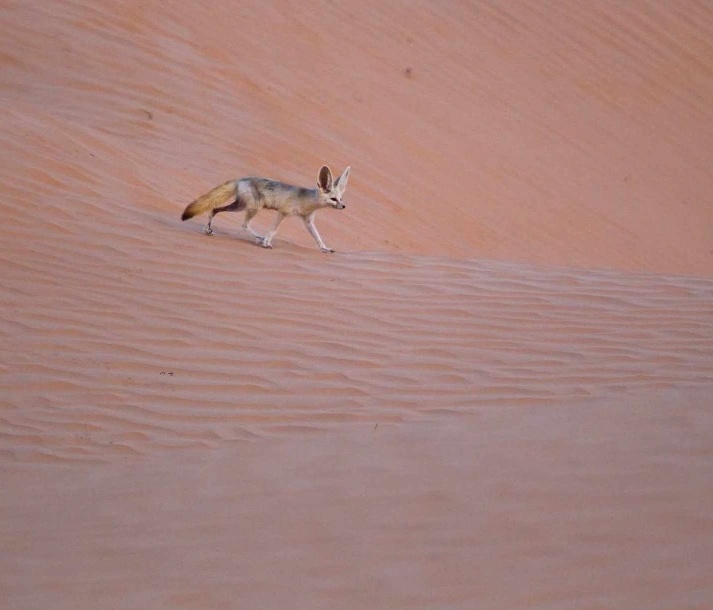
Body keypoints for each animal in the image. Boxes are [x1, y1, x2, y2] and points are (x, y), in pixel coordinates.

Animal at [181, 165, 351, 252]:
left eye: (341, 198)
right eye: (333, 199)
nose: (343, 206)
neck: (306, 200)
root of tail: (241, 179)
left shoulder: (307, 220)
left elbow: (317, 236)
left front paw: (324, 248)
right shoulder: (283, 212)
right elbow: (273, 230)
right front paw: (267, 243)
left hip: (245, 207)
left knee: (218, 211)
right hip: (248, 207)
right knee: (225, 215)